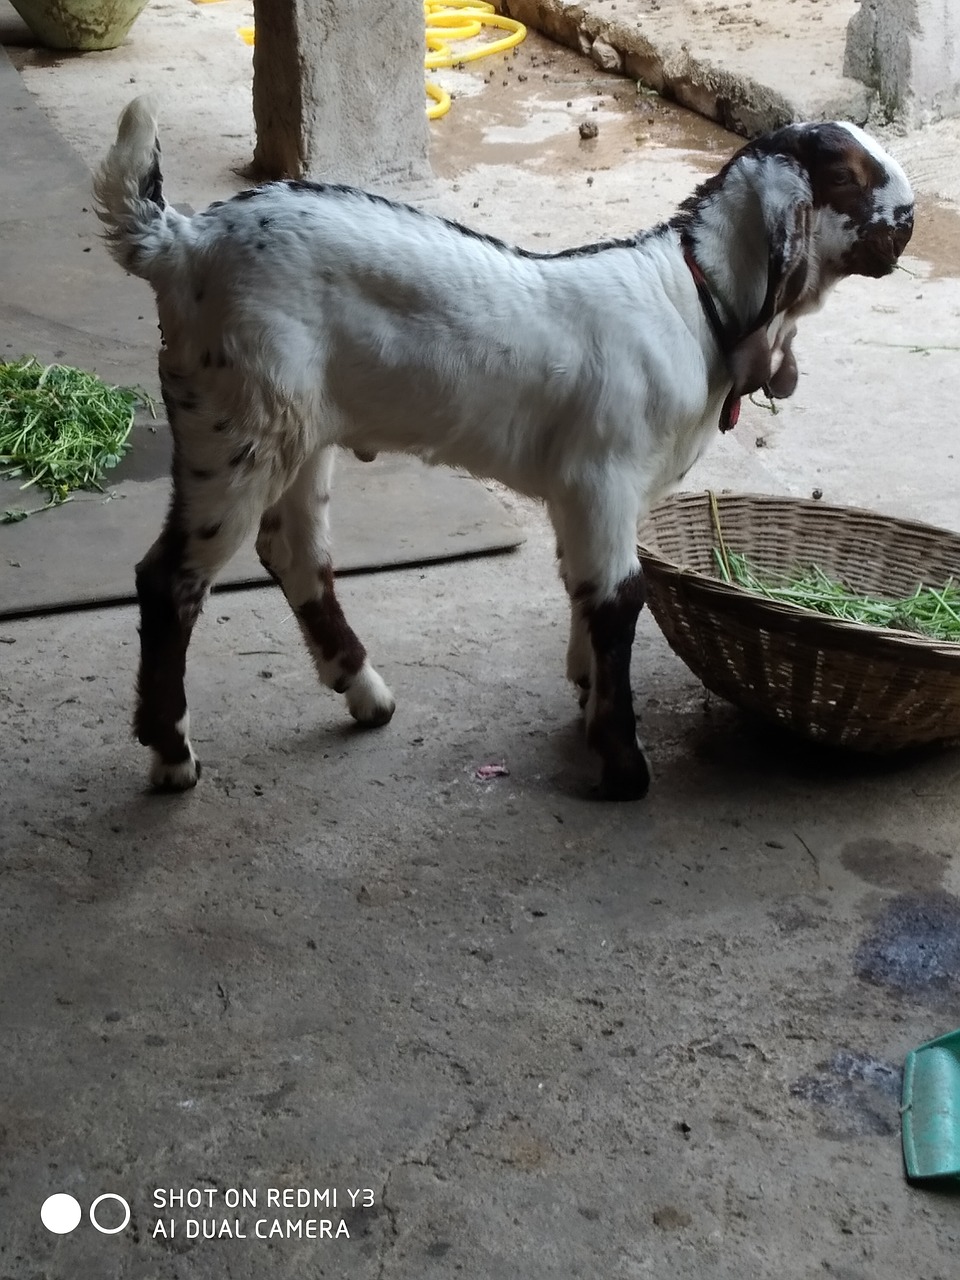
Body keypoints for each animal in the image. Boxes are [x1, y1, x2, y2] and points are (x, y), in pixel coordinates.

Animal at [94, 98, 914, 799]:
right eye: (848, 176)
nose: (908, 220)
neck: (692, 301)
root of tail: (180, 243)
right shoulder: (605, 478)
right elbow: (619, 598)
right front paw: (622, 766)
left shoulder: (582, 499)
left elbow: (582, 588)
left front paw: (584, 694)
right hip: (235, 426)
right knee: (170, 580)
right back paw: (173, 756)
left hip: (298, 431)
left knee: (294, 555)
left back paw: (366, 694)